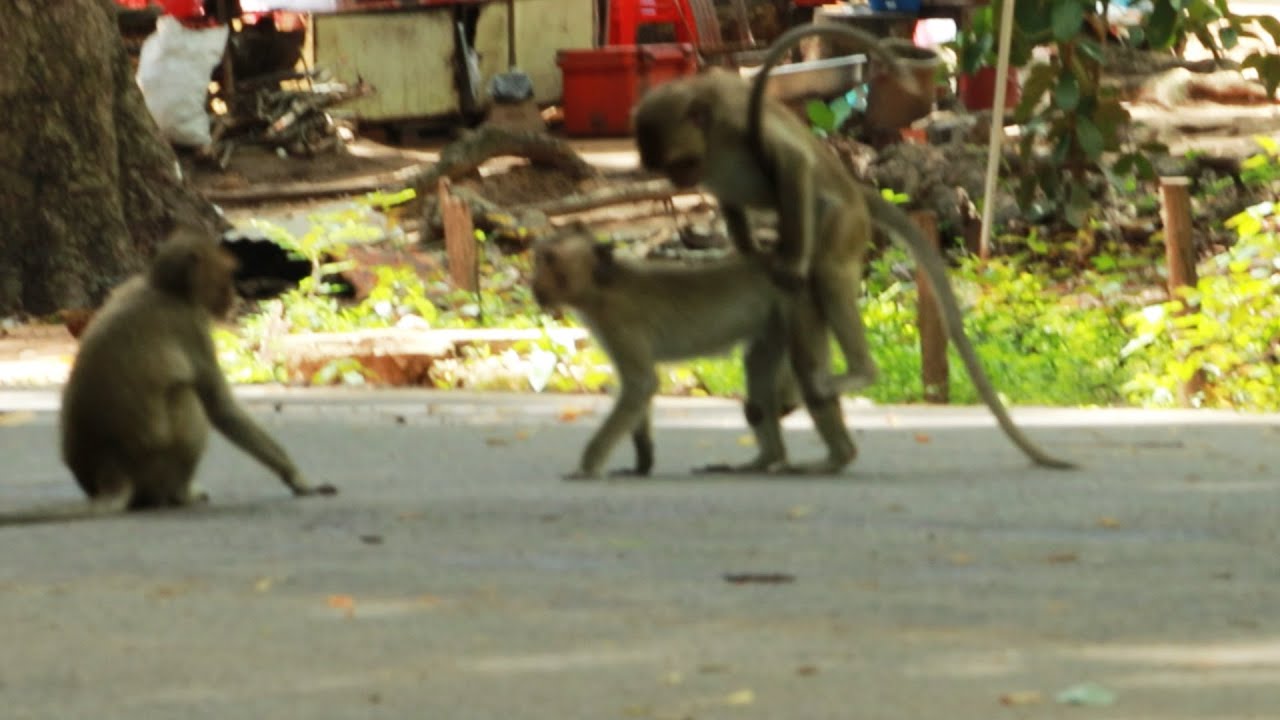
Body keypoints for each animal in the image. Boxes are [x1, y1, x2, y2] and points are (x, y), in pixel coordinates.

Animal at [0, 227, 336, 526]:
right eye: (226, 275)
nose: (233, 298)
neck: (163, 287)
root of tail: (112, 473)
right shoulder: (192, 324)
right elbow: (221, 407)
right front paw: (300, 480)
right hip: (156, 469)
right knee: (186, 398)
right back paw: (182, 495)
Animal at [530, 224, 856, 480]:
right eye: (540, 258)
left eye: (550, 260)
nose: (534, 281)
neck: (602, 287)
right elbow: (639, 390)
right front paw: (642, 465)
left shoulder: (618, 322)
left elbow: (641, 384)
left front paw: (587, 467)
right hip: (775, 321)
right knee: (758, 370)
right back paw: (766, 460)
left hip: (799, 305)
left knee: (809, 373)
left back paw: (837, 458)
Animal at [632, 26, 1076, 470]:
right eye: (670, 169)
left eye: (681, 164)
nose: (680, 181)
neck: (711, 132)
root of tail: (856, 190)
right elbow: (732, 206)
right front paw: (749, 258)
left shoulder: (738, 120)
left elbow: (792, 163)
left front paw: (790, 265)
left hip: (843, 222)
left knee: (825, 269)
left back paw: (856, 372)